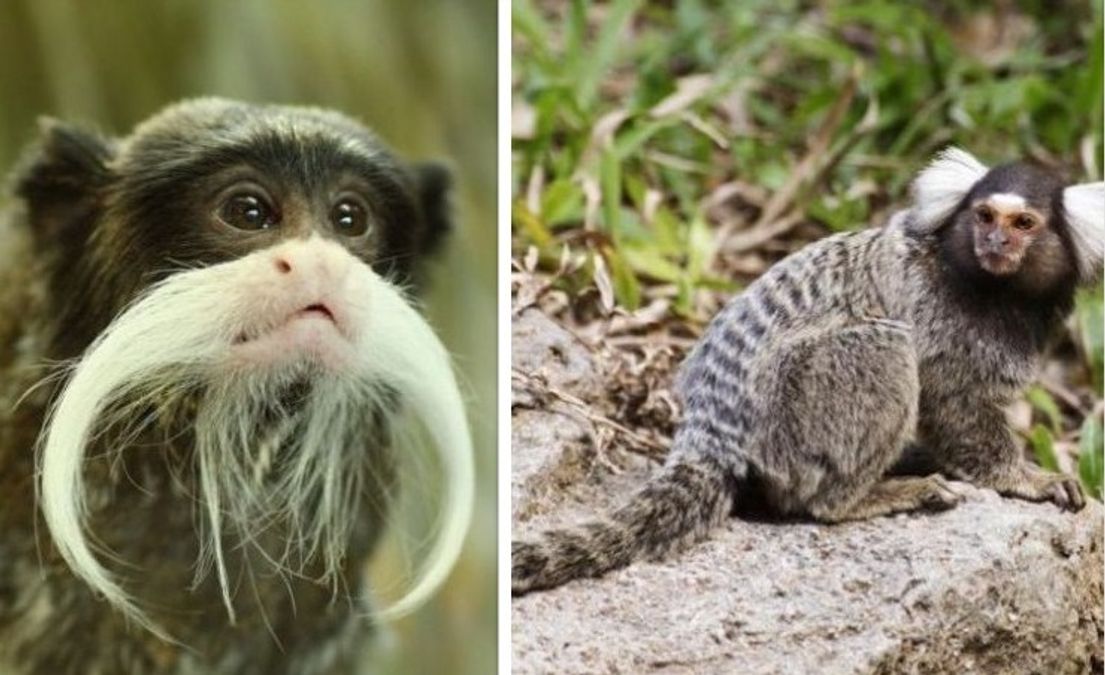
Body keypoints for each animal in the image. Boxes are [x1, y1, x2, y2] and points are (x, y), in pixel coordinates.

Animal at [512, 148, 1104, 595]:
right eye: (984, 217)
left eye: (1023, 223)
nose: (995, 242)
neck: (990, 288)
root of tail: (712, 426)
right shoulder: (946, 322)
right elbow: (956, 406)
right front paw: (1025, 478)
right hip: (795, 410)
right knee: (884, 348)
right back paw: (864, 497)